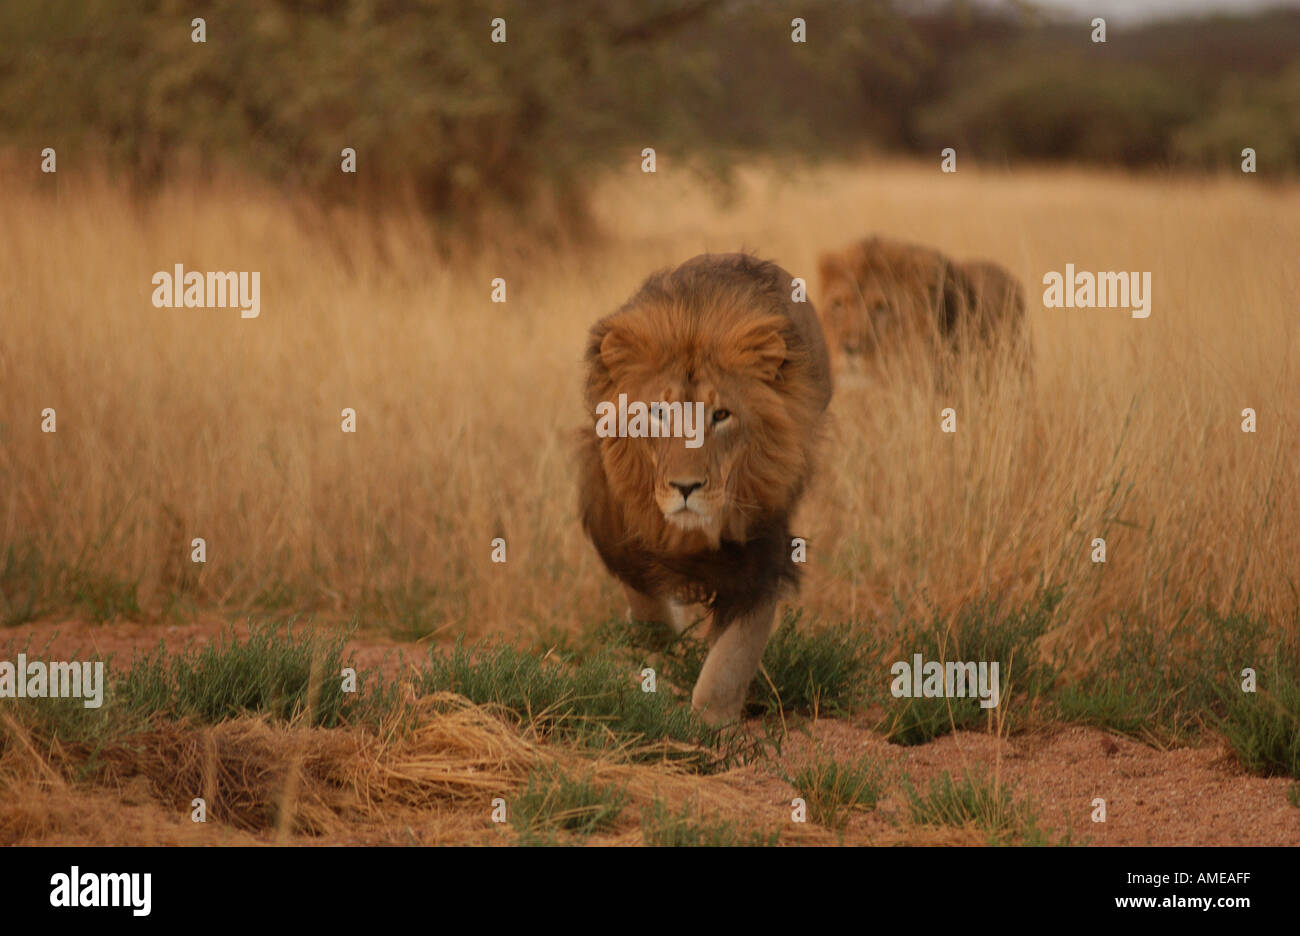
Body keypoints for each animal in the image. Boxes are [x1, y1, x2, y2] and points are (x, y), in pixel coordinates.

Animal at [578, 253, 833, 726]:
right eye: (657, 413)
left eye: (721, 415)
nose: (686, 487)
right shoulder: (615, 521)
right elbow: (643, 601)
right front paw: (662, 639)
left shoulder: (761, 551)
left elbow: (734, 653)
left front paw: (711, 718)